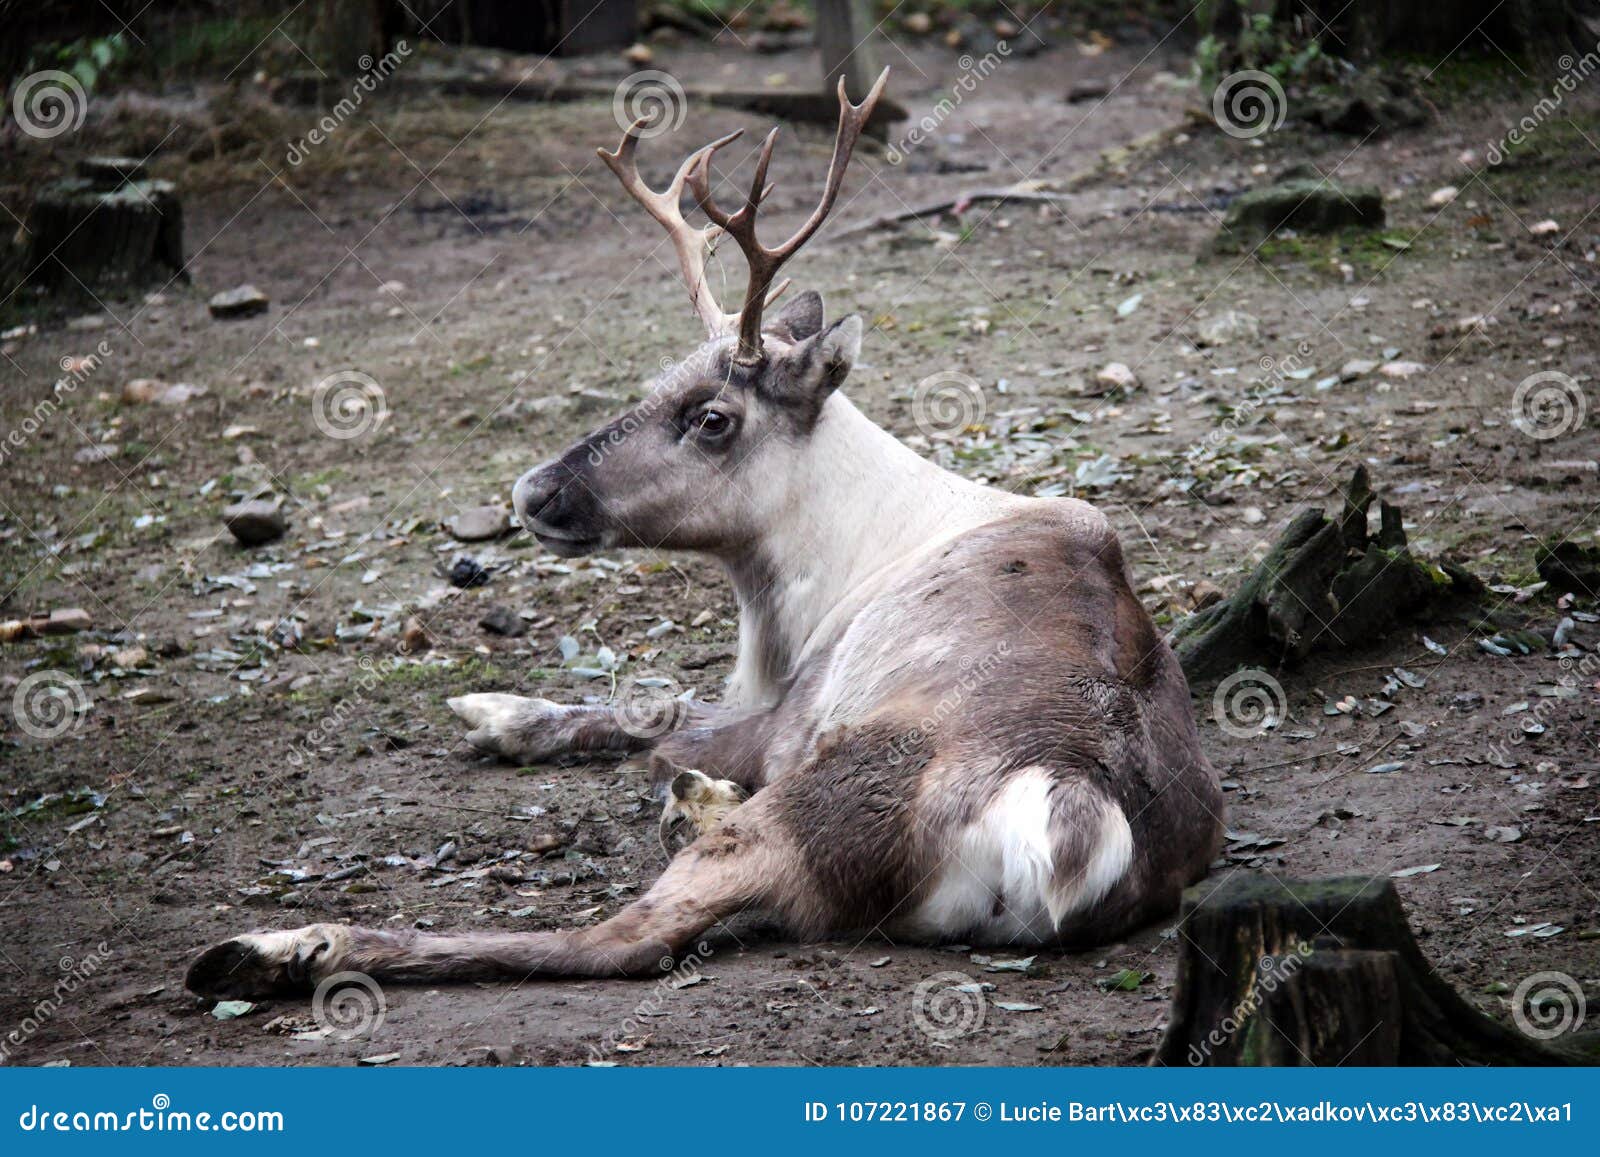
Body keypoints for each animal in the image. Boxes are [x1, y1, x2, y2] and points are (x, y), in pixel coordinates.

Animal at [185, 70, 1222, 1002]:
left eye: (713, 416)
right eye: (656, 378)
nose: (534, 490)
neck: (832, 572)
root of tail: (1069, 829)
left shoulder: (789, 713)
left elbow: (661, 720)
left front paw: (503, 713)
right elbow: (655, 702)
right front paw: (504, 711)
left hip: (815, 804)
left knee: (622, 936)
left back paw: (283, 947)